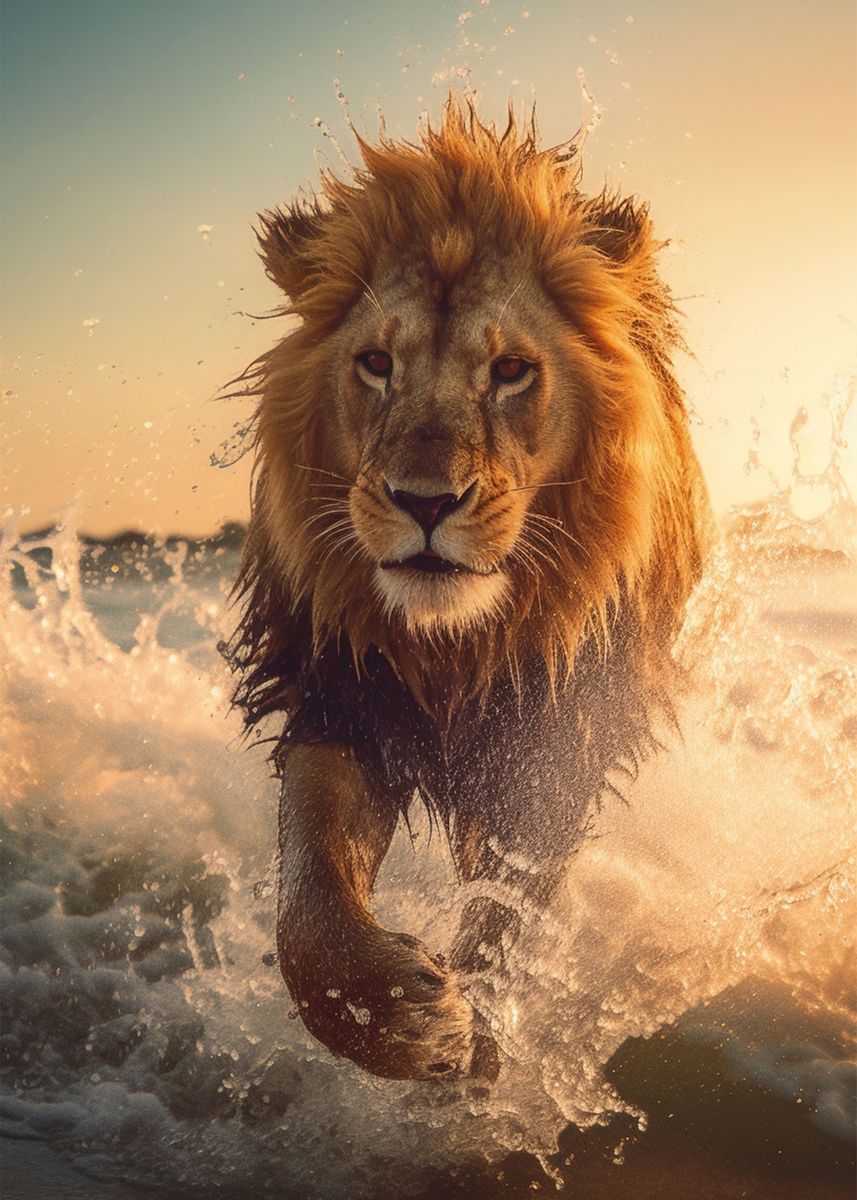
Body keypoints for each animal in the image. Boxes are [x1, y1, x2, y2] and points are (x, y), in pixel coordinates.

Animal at [227, 101, 712, 1081]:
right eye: (376, 364)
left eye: (511, 371)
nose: (424, 502)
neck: (458, 646)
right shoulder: (343, 691)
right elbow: (311, 898)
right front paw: (399, 1017)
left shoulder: (559, 730)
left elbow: (504, 915)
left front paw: (477, 1046)